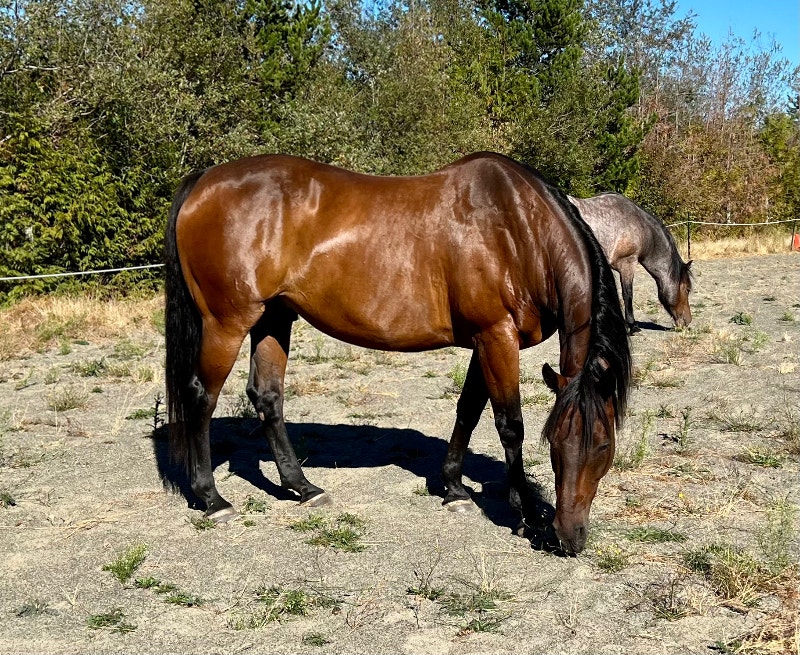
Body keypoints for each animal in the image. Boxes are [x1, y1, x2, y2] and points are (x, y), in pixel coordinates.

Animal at [164, 152, 631, 555]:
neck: (518, 229)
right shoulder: (497, 336)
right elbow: (509, 425)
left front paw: (454, 489)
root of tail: (203, 181)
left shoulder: (486, 340)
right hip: (227, 322)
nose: (569, 537)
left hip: (274, 317)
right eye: (553, 443)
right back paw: (212, 499)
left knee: (267, 397)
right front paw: (526, 514)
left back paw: (303, 488)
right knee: (202, 396)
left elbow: (468, 410)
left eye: (604, 447)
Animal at [567, 193, 693, 334]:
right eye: (687, 289)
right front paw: (632, 325)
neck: (641, 227)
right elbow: (628, 294)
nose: (688, 321)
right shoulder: (627, 264)